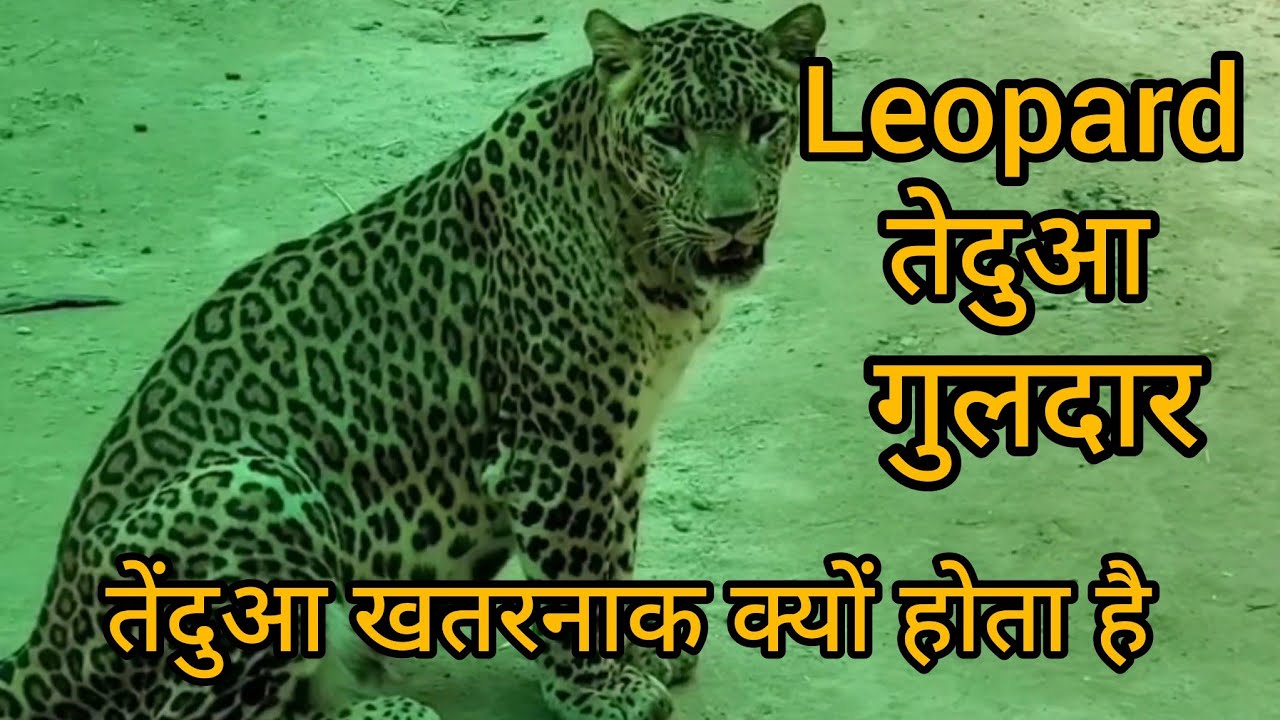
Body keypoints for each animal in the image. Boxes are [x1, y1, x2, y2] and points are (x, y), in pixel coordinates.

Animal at [0, 4, 826, 720]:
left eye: (764, 124)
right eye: (668, 134)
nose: (731, 221)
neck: (641, 235)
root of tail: (39, 650)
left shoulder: (621, 442)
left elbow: (612, 554)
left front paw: (636, 654)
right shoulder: (559, 450)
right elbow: (577, 572)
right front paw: (600, 691)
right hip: (258, 486)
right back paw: (390, 713)